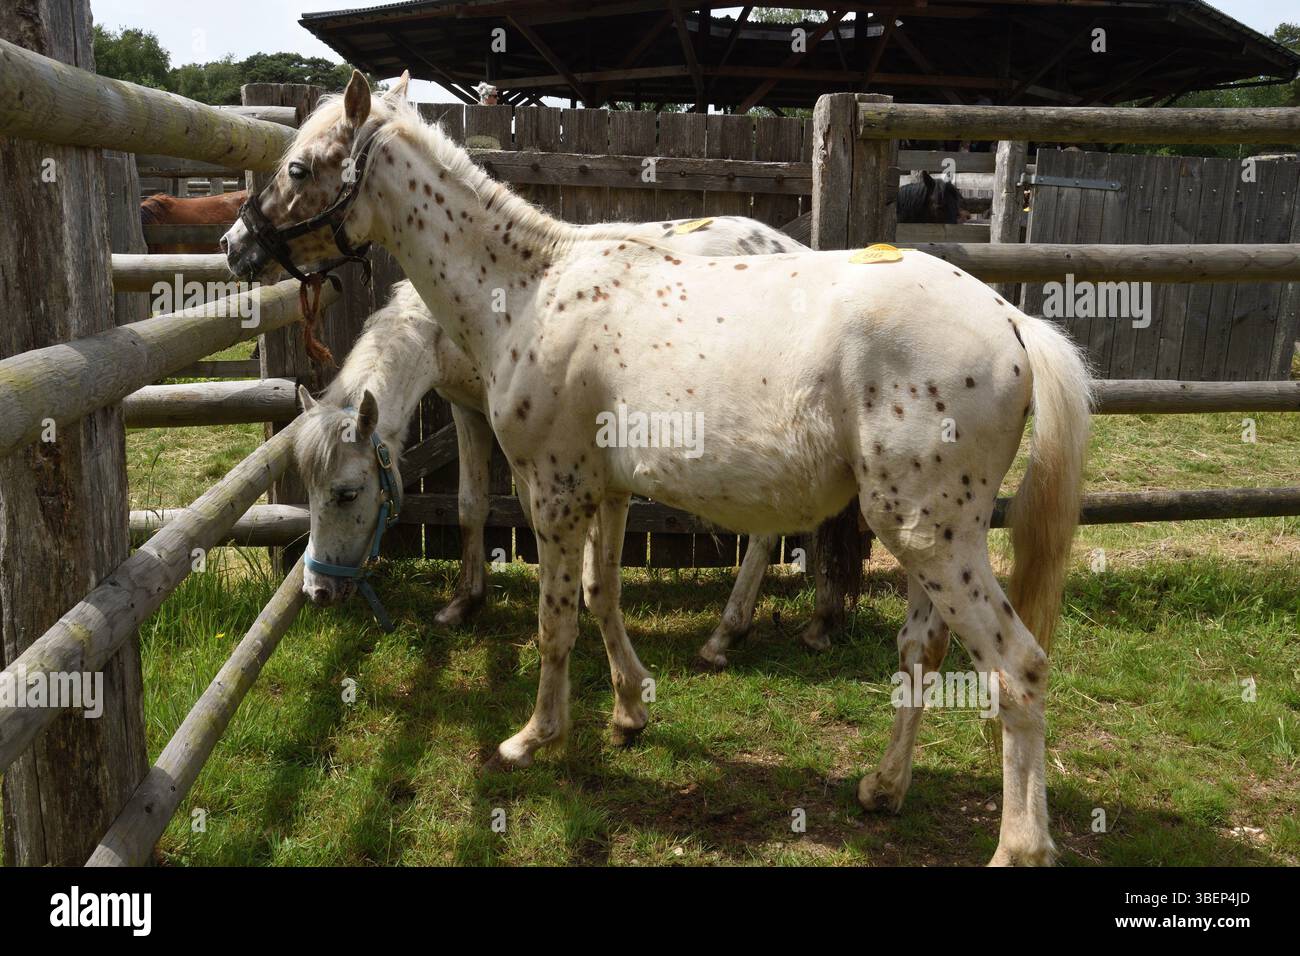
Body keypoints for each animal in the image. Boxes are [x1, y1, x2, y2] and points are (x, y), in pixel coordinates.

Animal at [286, 215, 842, 670]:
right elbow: (470, 505)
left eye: (347, 493)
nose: (316, 591)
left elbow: (530, 512)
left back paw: (726, 635)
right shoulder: (468, 410)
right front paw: (464, 602)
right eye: (308, 490)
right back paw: (807, 625)